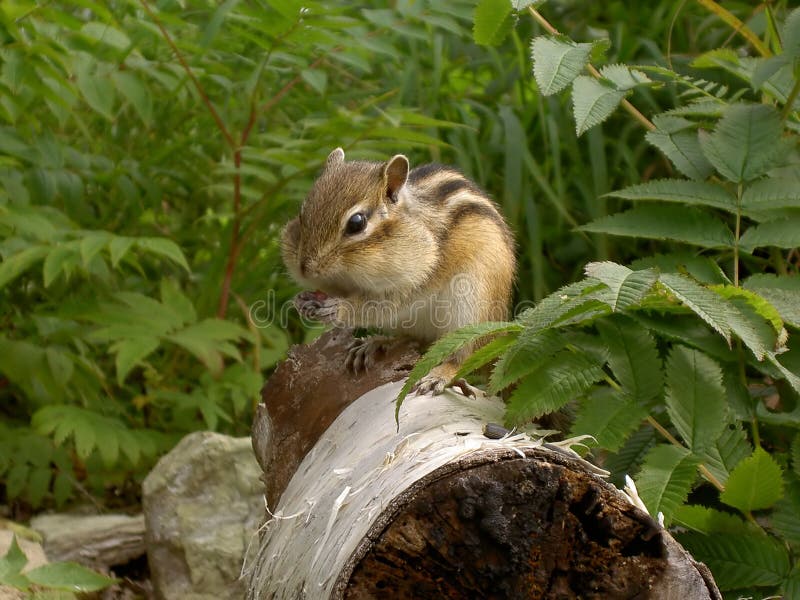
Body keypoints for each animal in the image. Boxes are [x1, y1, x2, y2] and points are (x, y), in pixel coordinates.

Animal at [281, 148, 516, 396]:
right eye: (302, 214)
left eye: (356, 223)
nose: (305, 268)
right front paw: (302, 300)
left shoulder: (419, 278)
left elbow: (383, 303)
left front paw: (337, 308)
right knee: (413, 339)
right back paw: (377, 343)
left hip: (470, 309)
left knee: (461, 356)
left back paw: (439, 374)